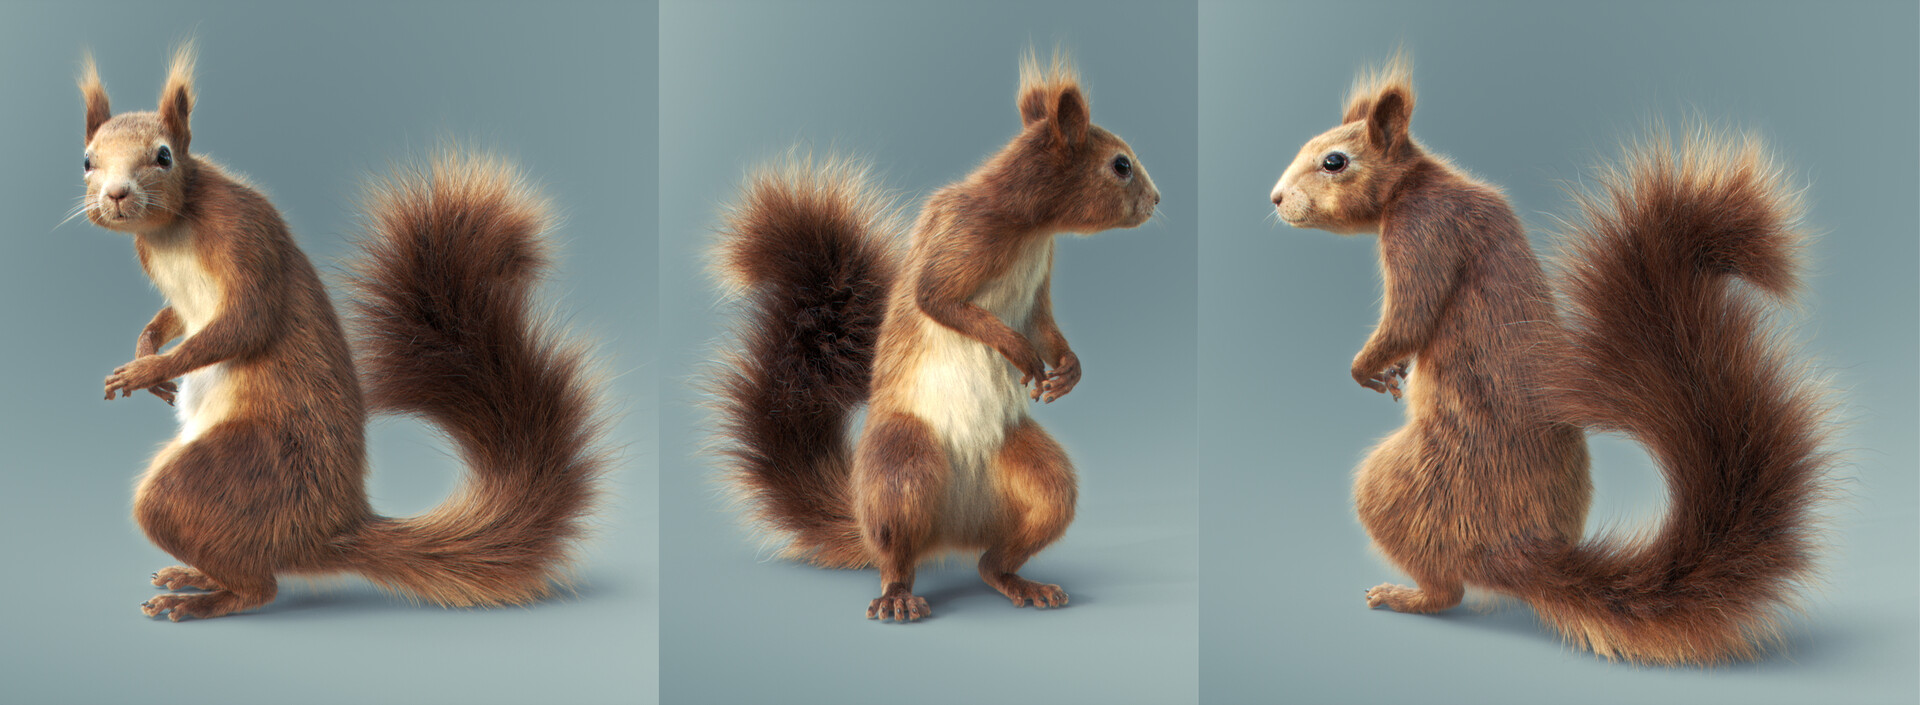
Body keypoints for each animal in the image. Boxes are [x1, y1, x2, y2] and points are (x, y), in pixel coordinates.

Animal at [77, 44, 606, 620]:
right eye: (87, 161)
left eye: (164, 156)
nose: (116, 195)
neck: (169, 229)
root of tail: (326, 532)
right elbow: (173, 316)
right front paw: (147, 352)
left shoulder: (245, 237)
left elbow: (246, 323)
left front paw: (147, 368)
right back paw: (194, 575)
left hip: (242, 472)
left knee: (257, 583)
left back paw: (204, 599)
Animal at [707, 49, 1160, 621]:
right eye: (1121, 165)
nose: (1158, 199)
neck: (1031, 228)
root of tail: (951, 533)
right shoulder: (964, 235)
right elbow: (938, 299)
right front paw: (1018, 352)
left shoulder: (1039, 281)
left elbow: (1042, 324)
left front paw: (1068, 370)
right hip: (903, 463)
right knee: (896, 554)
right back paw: (898, 596)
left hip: (1034, 475)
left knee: (998, 555)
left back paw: (1021, 583)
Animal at [1269, 54, 1834, 665]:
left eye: (1334, 161)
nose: (1274, 199)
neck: (1417, 184)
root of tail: (1522, 556)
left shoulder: (1425, 233)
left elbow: (1410, 317)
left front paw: (1366, 369)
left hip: (1402, 489)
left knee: (1448, 591)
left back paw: (1405, 596)